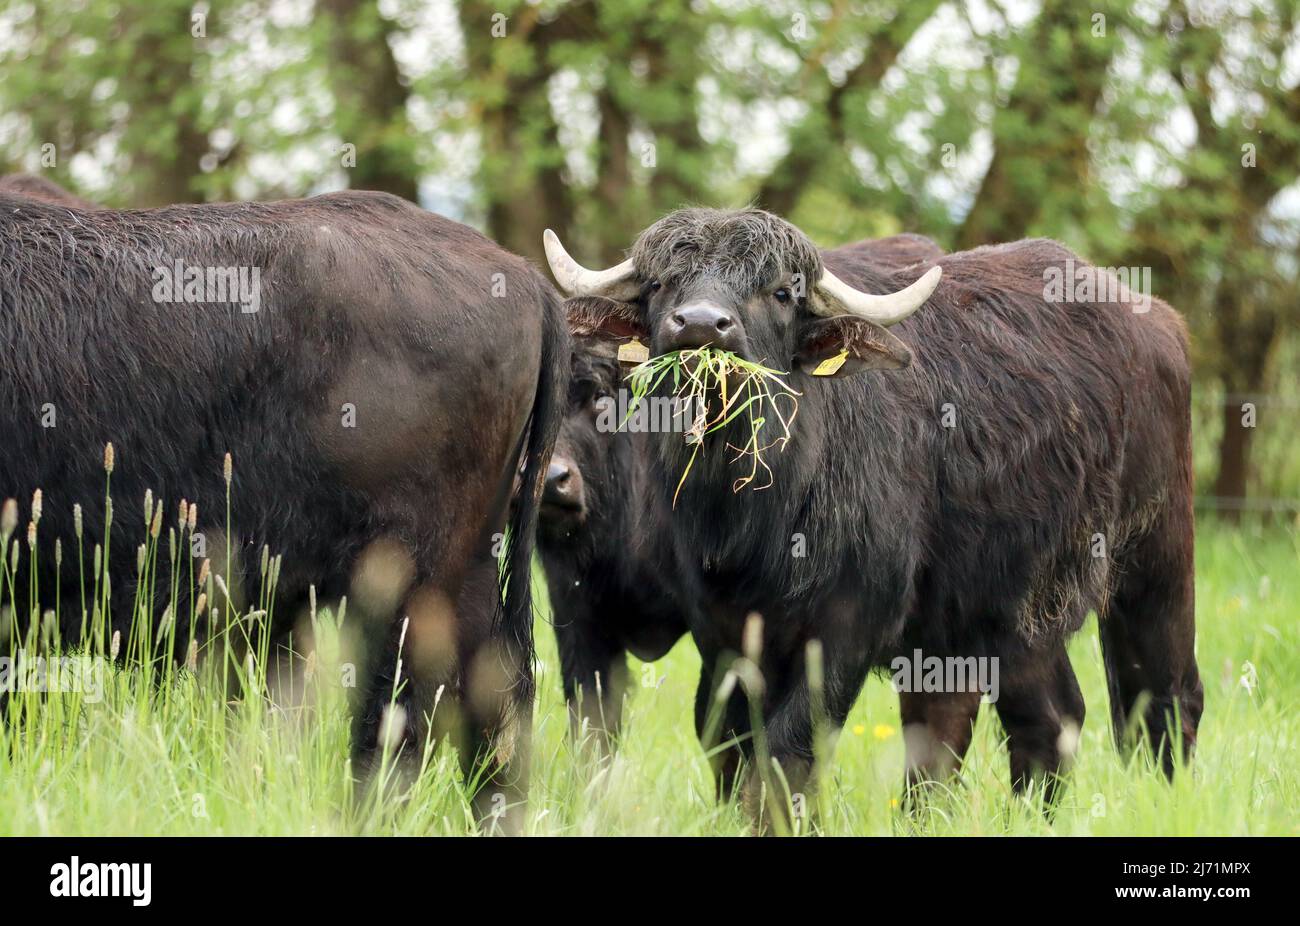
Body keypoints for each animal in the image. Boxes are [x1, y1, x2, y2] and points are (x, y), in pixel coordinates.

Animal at [545, 208, 1202, 828]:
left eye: (780, 292)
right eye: (661, 284)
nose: (703, 325)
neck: (755, 511)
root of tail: (1160, 325)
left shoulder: (849, 625)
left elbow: (786, 755)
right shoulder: (716, 633)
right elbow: (726, 746)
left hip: (1155, 560)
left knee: (1165, 701)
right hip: (999, 612)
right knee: (1030, 717)